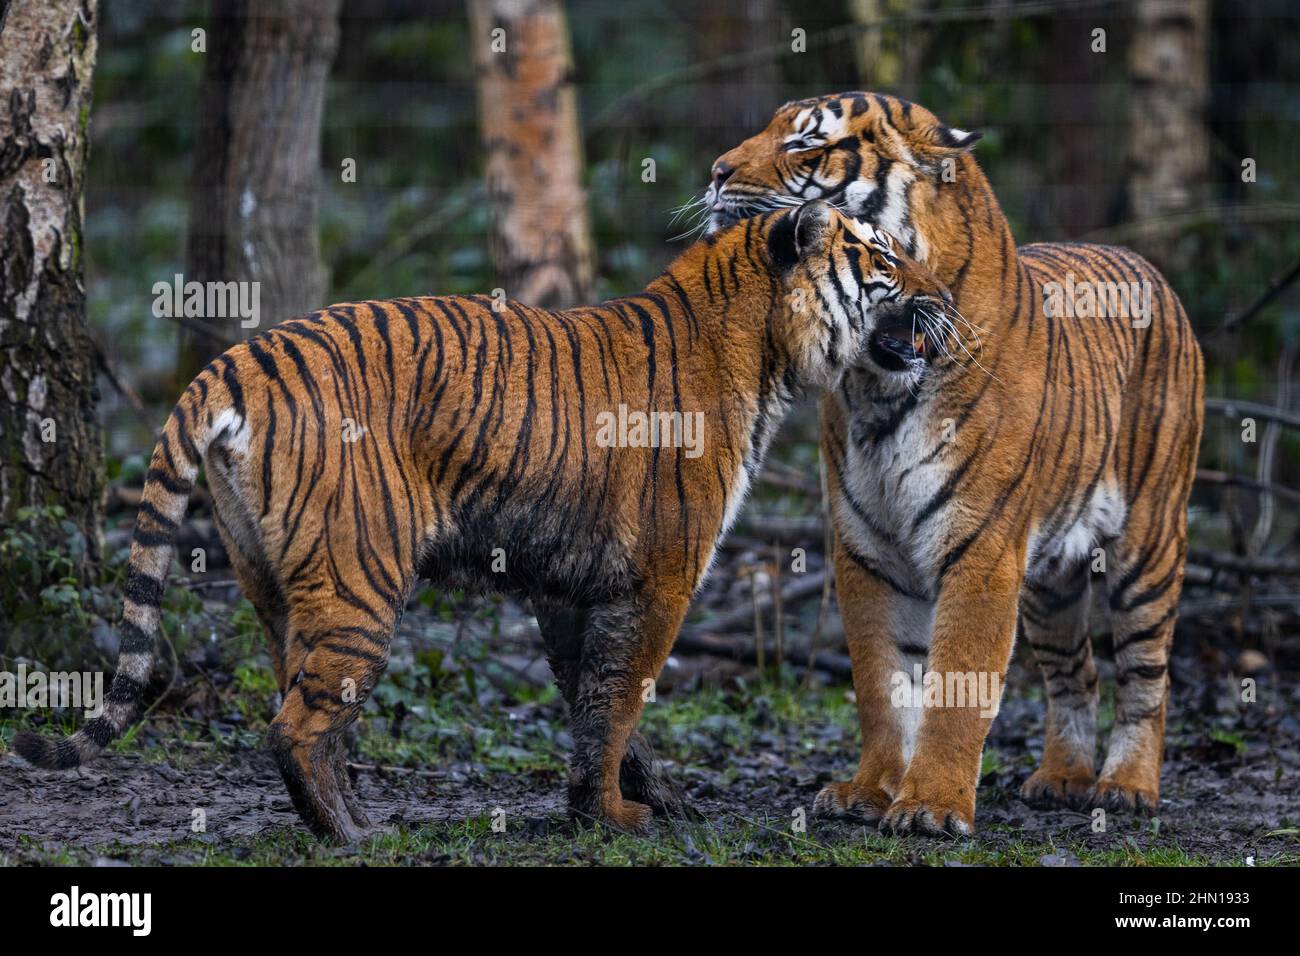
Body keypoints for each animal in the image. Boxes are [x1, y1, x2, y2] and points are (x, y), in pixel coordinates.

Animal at [15, 199, 953, 841]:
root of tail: (241, 356)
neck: (765, 353)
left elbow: (595, 702)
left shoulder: (571, 588)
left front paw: (625, 799)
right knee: (294, 727)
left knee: (302, 702)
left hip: (271, 580)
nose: (943, 291)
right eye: (881, 258)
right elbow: (622, 698)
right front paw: (614, 815)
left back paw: (358, 815)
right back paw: (349, 836)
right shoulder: (661, 577)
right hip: (361, 581)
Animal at [701, 92, 1205, 835]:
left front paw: (931, 806)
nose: (714, 172)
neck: (874, 379)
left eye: (805, 145)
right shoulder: (869, 551)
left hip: (1149, 546)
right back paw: (1062, 778)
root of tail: (1145, 265)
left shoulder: (982, 548)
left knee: (1147, 676)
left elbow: (959, 685)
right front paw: (871, 790)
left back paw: (1127, 786)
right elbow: (883, 684)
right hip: (1050, 581)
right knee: (1076, 671)